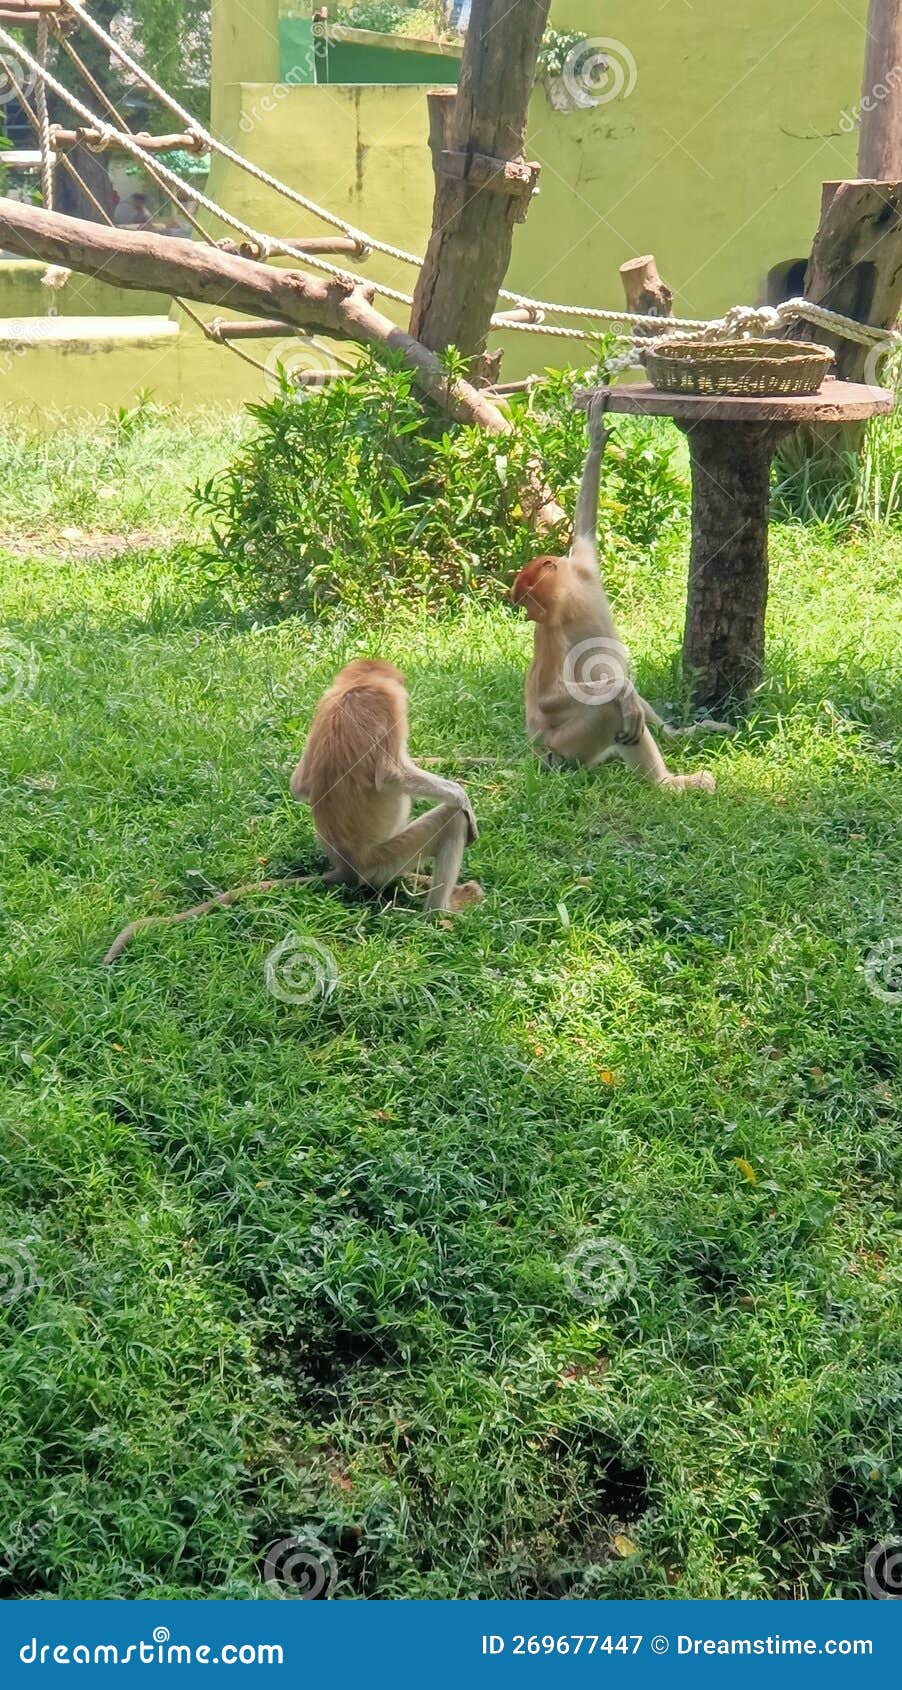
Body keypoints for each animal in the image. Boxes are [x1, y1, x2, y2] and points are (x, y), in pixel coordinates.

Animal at [289, 659, 483, 913]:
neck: (357, 684)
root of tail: (346, 868)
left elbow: (298, 785)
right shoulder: (389, 703)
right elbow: (391, 776)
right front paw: (463, 799)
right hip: (381, 863)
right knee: (453, 820)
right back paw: (439, 912)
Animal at [510, 393, 729, 793]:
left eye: (529, 598)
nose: (530, 614)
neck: (570, 599)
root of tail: (538, 753)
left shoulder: (583, 568)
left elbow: (585, 525)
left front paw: (596, 436)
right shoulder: (549, 633)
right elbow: (548, 698)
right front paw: (619, 689)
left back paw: (680, 735)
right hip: (567, 747)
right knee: (611, 711)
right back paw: (668, 782)